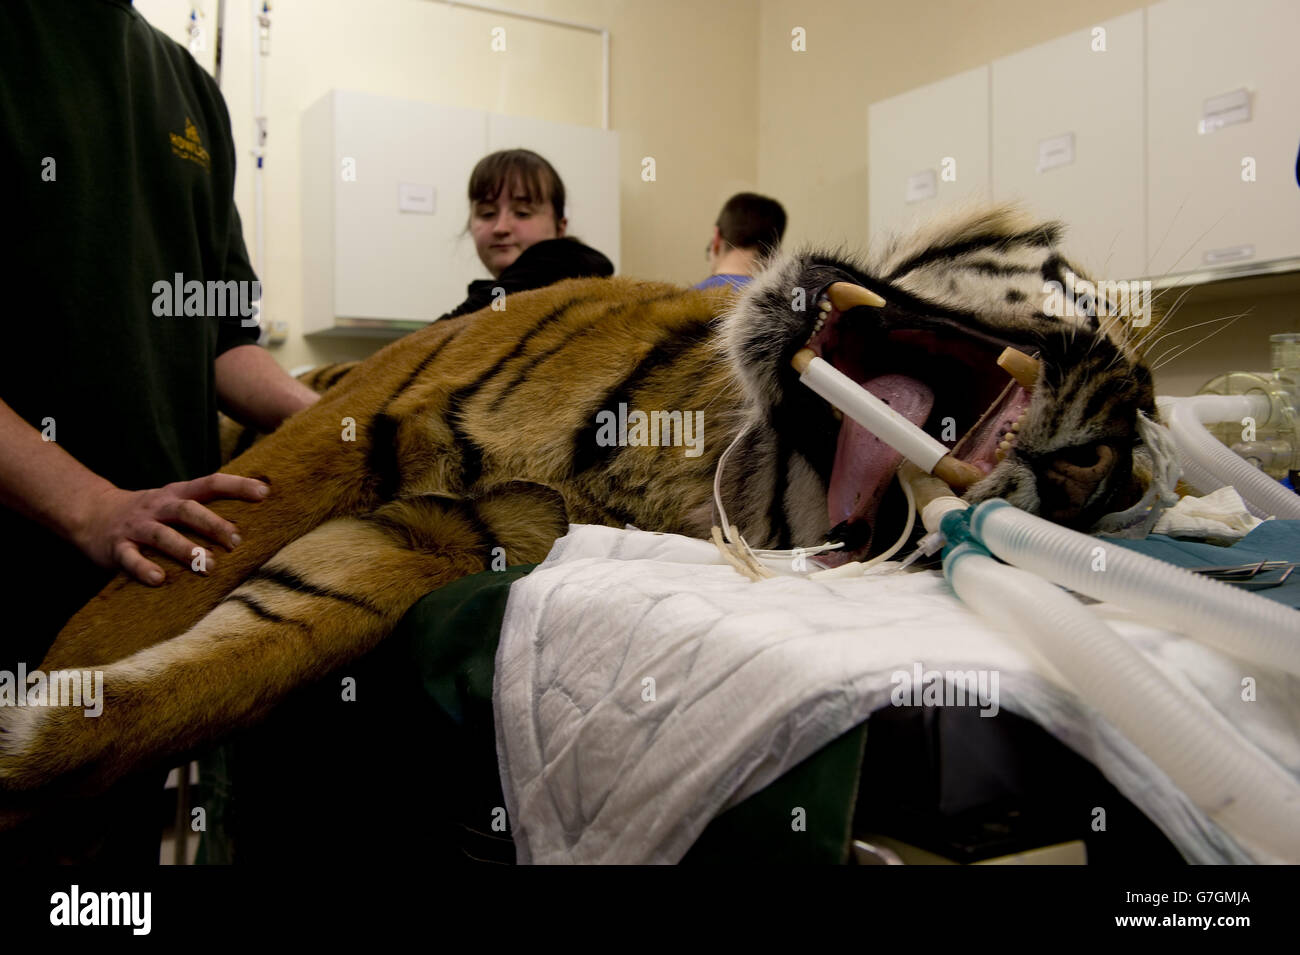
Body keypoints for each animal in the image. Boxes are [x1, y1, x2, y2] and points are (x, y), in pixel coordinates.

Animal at [0, 202, 1162, 804]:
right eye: (1116, 344)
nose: (1092, 465)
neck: (697, 453)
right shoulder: (348, 437)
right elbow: (137, 603)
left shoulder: (443, 539)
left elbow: (248, 648)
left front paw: (32, 737)